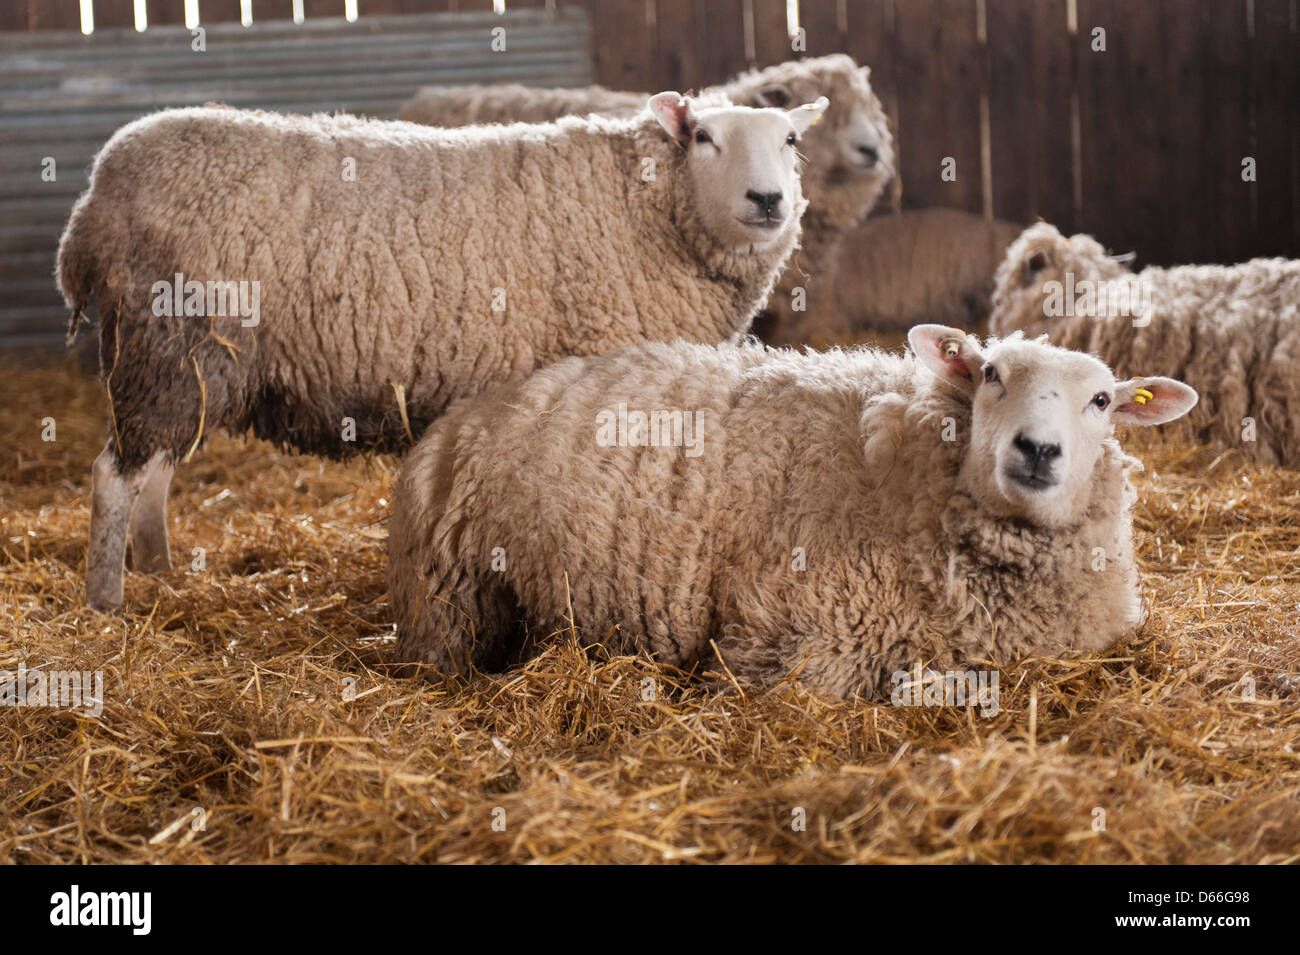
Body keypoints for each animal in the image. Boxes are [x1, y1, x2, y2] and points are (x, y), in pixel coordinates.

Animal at [58, 93, 829, 611]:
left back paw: (159, 572)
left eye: (791, 138)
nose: (768, 199)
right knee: (115, 476)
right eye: (702, 136)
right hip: (169, 341)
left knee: (155, 469)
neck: (646, 208)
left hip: (180, 361)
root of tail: (95, 196)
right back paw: (106, 599)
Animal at [388, 324, 1198, 699]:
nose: (1036, 449)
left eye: (1103, 400)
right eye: (992, 374)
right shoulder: (795, 643)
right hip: (452, 598)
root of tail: (466, 414)